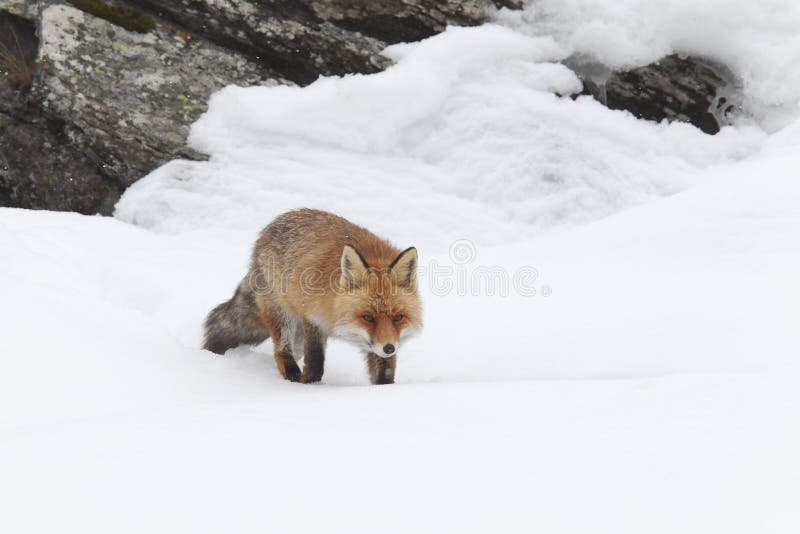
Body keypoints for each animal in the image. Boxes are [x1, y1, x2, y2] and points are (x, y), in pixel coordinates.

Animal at [203, 209, 422, 385]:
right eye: (367, 317)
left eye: (398, 317)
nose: (389, 348)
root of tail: (274, 222)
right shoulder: (313, 317)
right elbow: (316, 361)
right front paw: (309, 386)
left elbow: (385, 372)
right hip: (283, 315)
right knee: (281, 350)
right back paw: (291, 375)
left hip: (298, 333)